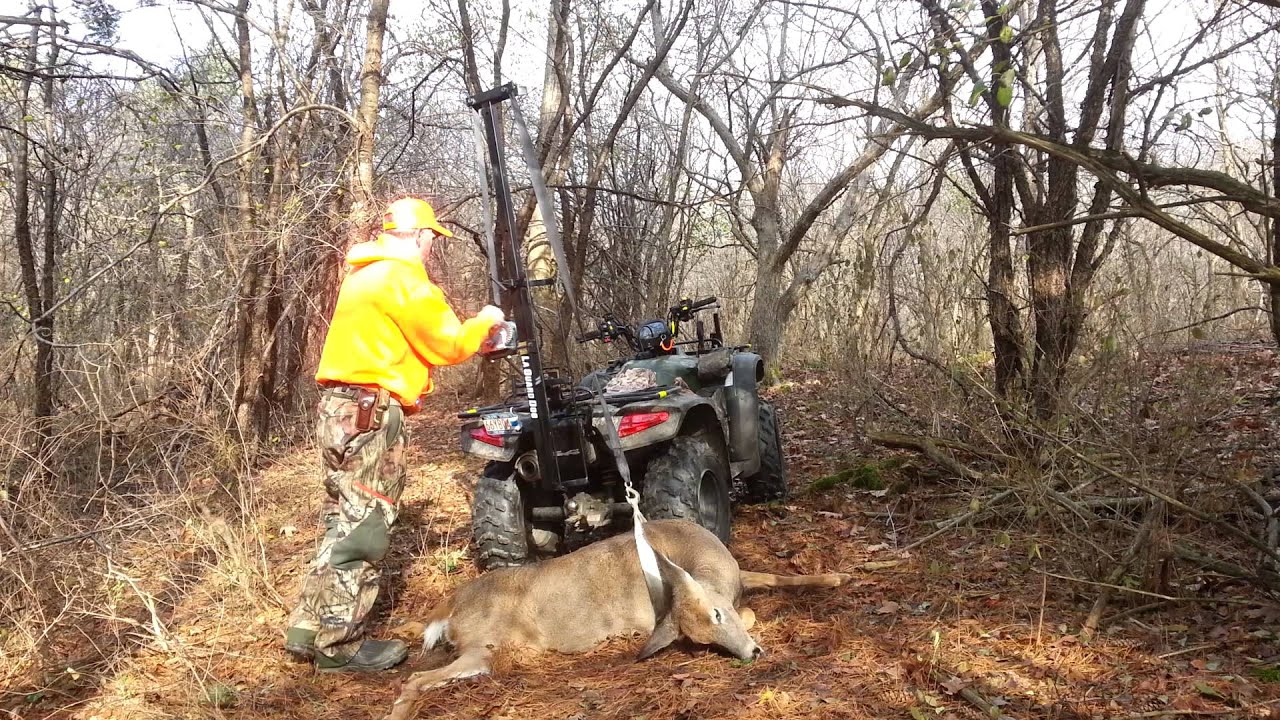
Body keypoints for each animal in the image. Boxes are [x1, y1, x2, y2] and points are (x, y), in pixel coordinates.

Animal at [383, 518, 850, 720]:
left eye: (718, 614)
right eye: (701, 640)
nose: (752, 655)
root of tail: (451, 604)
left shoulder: (739, 574)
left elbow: (774, 575)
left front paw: (837, 576)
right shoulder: (650, 620)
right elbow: (752, 609)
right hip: (484, 646)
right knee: (415, 678)